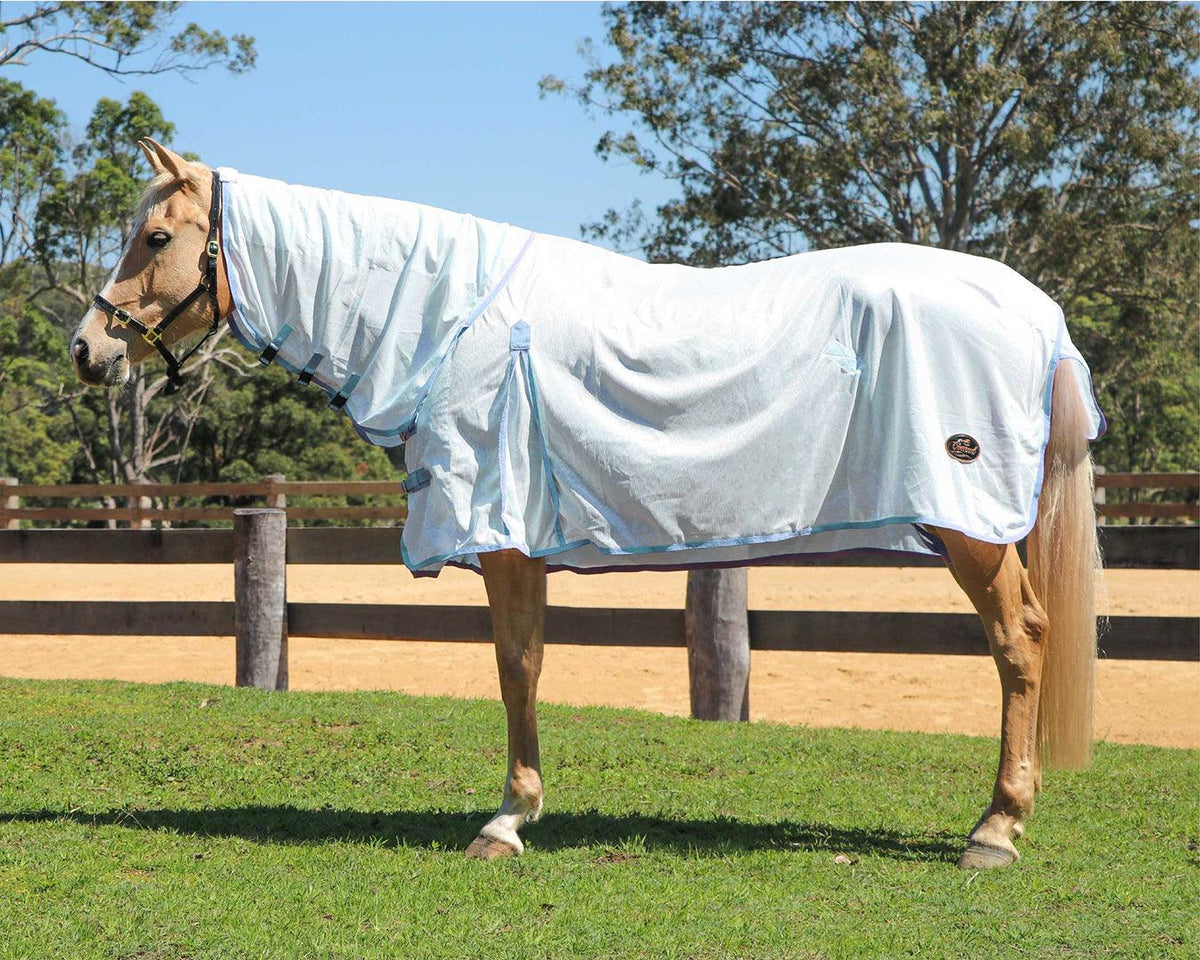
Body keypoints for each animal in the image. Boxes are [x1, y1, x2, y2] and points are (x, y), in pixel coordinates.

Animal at [72, 139, 1102, 869]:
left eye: (156, 239)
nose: (89, 348)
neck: (449, 319)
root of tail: (1037, 312)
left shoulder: (504, 536)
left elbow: (516, 664)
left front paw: (507, 819)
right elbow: (527, 664)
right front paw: (518, 810)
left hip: (971, 529)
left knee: (1019, 641)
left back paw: (994, 831)